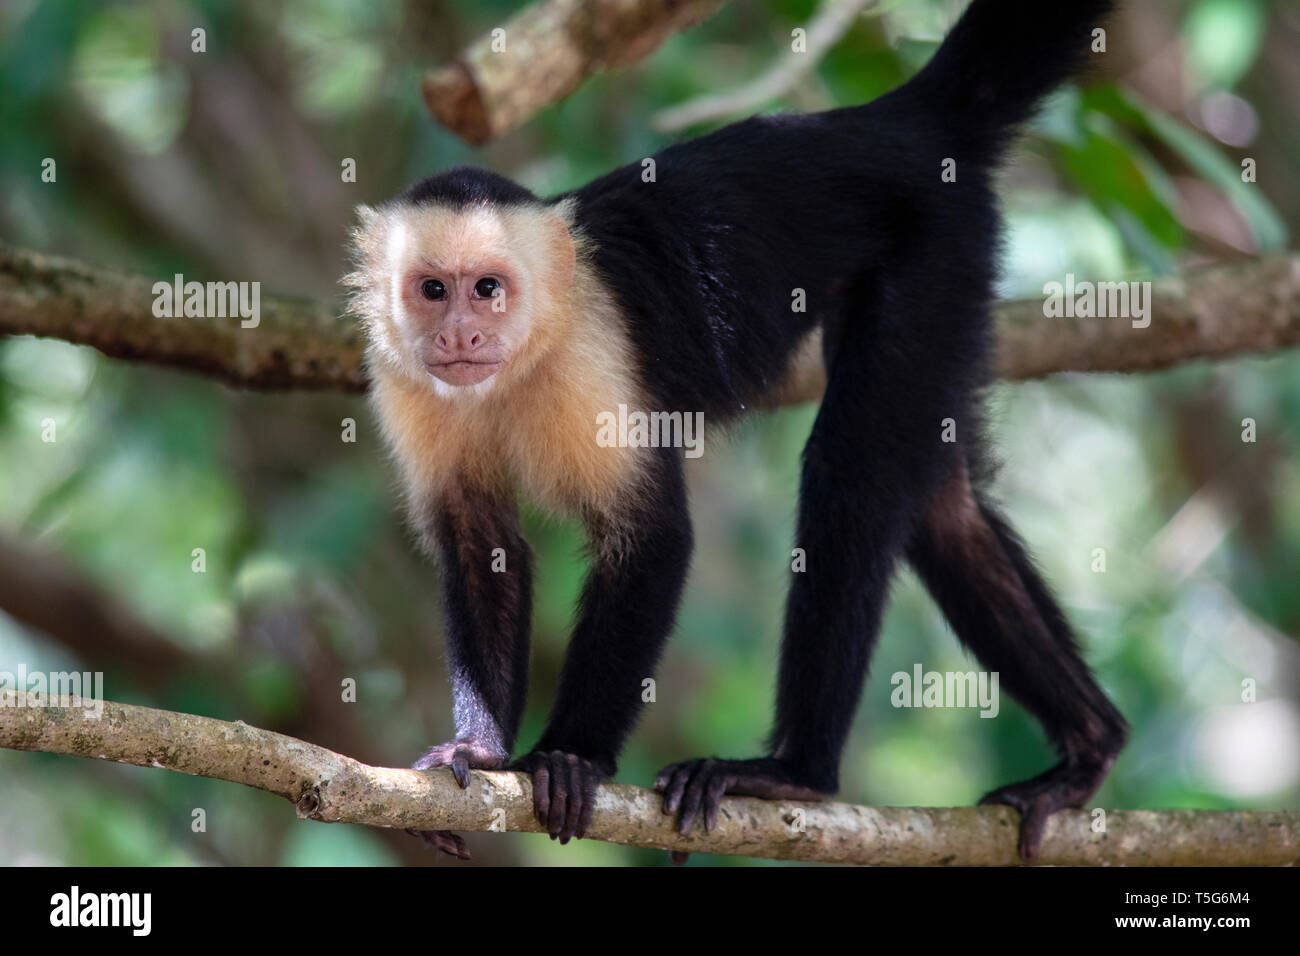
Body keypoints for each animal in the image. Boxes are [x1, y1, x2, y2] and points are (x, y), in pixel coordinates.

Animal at [345, 0, 1127, 861]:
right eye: (432, 291)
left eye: (488, 288)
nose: (460, 335)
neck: (526, 354)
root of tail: (895, 121)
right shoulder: (402, 380)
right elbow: (481, 541)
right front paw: (480, 750)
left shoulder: (593, 354)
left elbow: (651, 536)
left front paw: (569, 757)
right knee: (939, 505)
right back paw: (1090, 746)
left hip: (937, 249)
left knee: (854, 476)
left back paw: (796, 774)